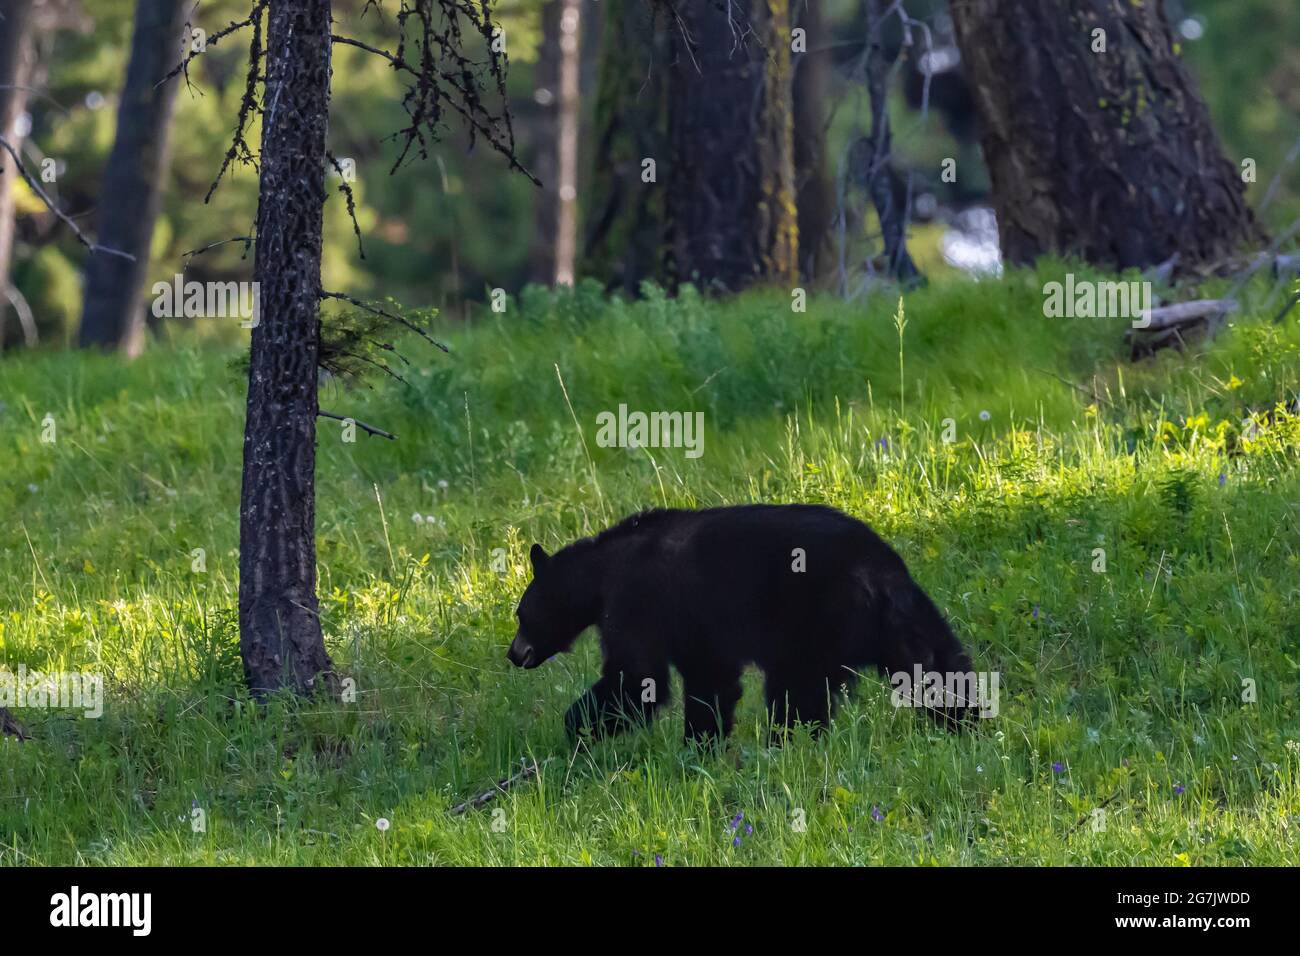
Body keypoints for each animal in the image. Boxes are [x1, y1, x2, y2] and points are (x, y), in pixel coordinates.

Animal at [506, 503, 977, 744]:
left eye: (522, 614)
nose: (514, 653)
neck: (602, 570)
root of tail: (880, 566)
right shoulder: (695, 628)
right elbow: (710, 680)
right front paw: (704, 743)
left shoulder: (636, 601)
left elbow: (638, 678)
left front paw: (577, 728)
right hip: (897, 620)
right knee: (937, 663)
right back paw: (967, 721)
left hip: (815, 619)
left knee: (798, 690)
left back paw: (787, 742)